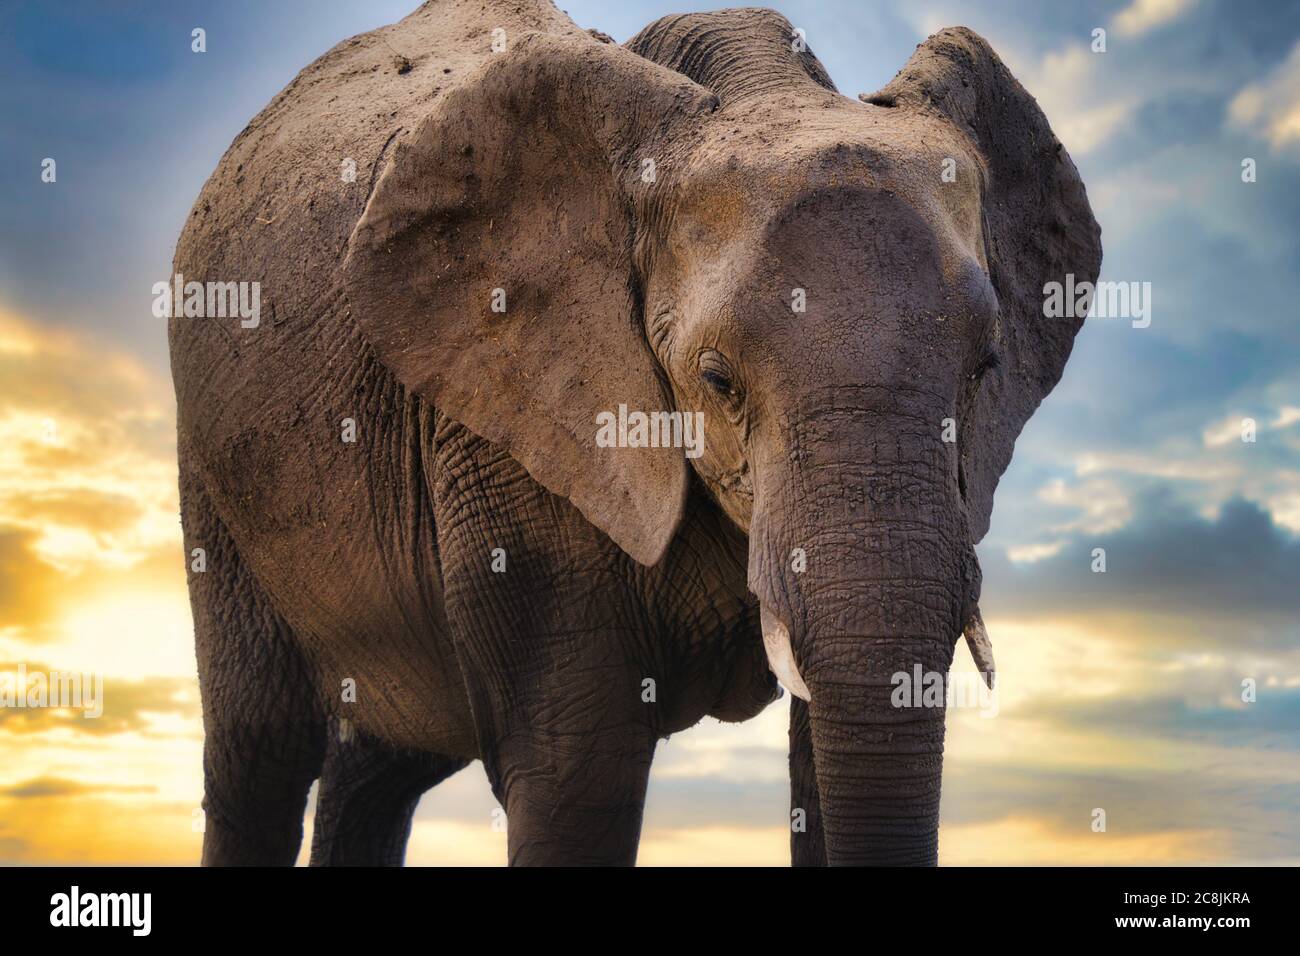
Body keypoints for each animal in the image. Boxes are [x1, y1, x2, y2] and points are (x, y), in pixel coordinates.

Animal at [169, 0, 1100, 866]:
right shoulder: (504, 440)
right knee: (262, 758)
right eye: (717, 379)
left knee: (380, 766)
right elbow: (578, 780)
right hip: (214, 470)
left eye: (985, 368)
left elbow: (820, 763)